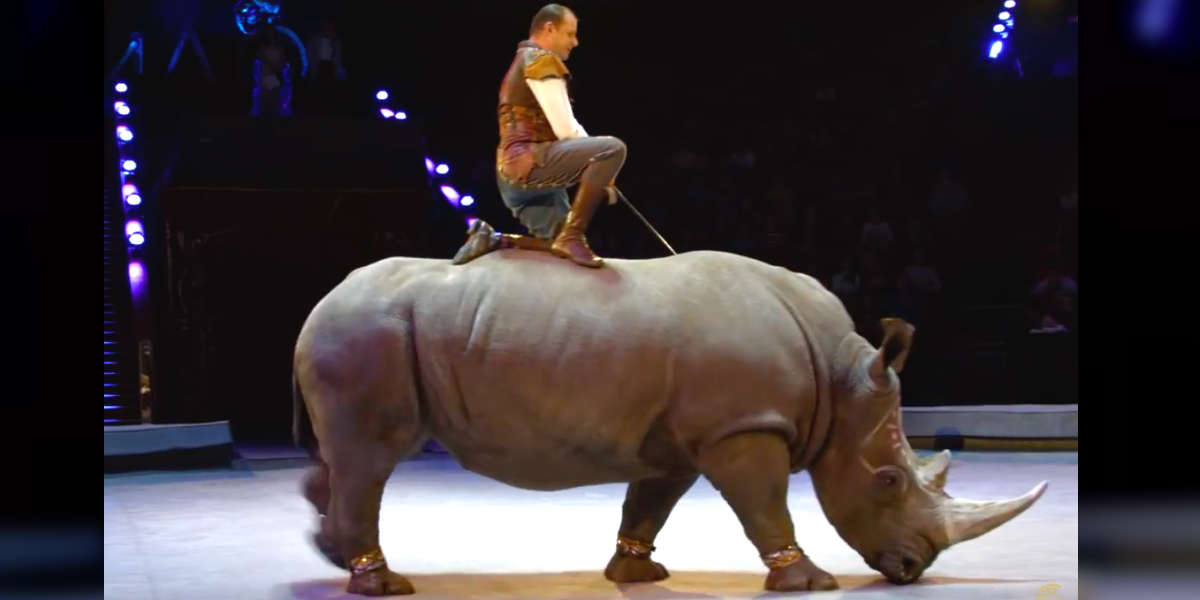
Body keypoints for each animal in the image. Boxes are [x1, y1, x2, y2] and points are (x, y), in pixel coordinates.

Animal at [292, 249, 1047, 595]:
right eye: (889, 480)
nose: (914, 569)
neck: (840, 378)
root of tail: (319, 302)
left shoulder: (688, 437)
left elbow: (649, 503)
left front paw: (638, 574)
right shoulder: (744, 428)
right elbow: (768, 506)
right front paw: (809, 582)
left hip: (361, 332)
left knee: (344, 456)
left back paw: (335, 556)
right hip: (363, 333)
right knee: (372, 458)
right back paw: (384, 584)